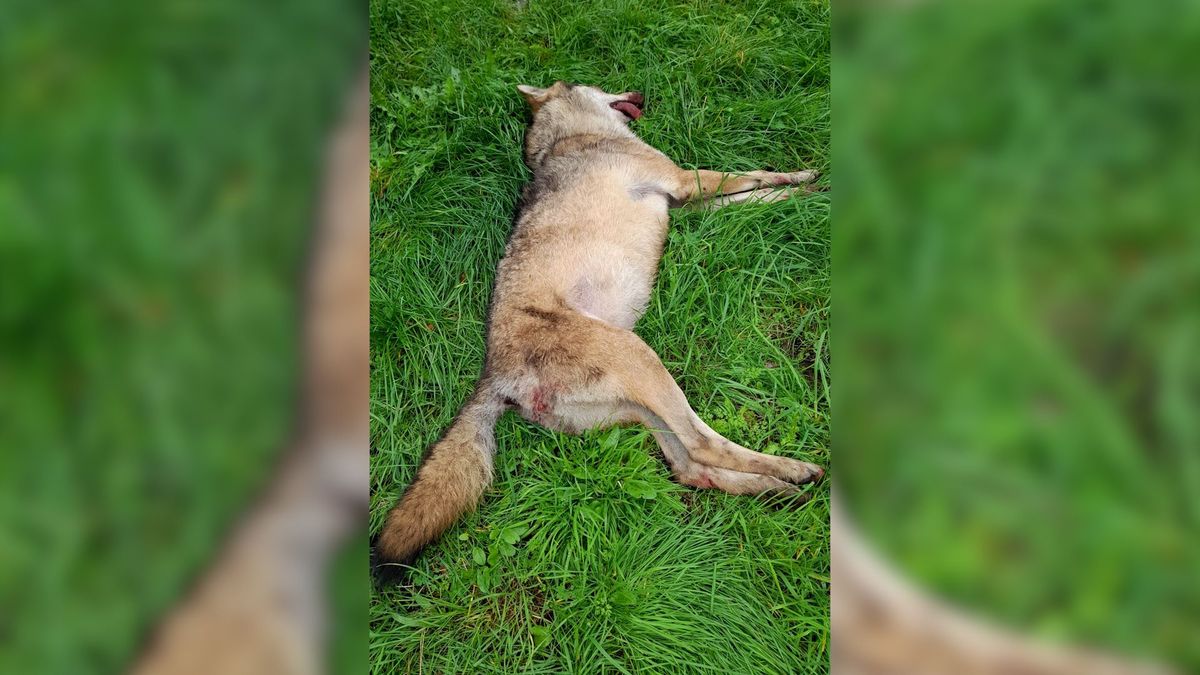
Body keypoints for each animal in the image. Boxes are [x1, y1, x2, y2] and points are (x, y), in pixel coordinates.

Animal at [374, 81, 825, 582]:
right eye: (588, 81)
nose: (641, 92)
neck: (571, 135)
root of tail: (492, 375)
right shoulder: (686, 182)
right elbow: (756, 175)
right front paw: (806, 176)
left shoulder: (688, 203)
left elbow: (758, 196)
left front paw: (809, 191)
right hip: (641, 359)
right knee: (703, 445)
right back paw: (793, 471)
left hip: (640, 404)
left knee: (689, 467)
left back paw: (777, 489)